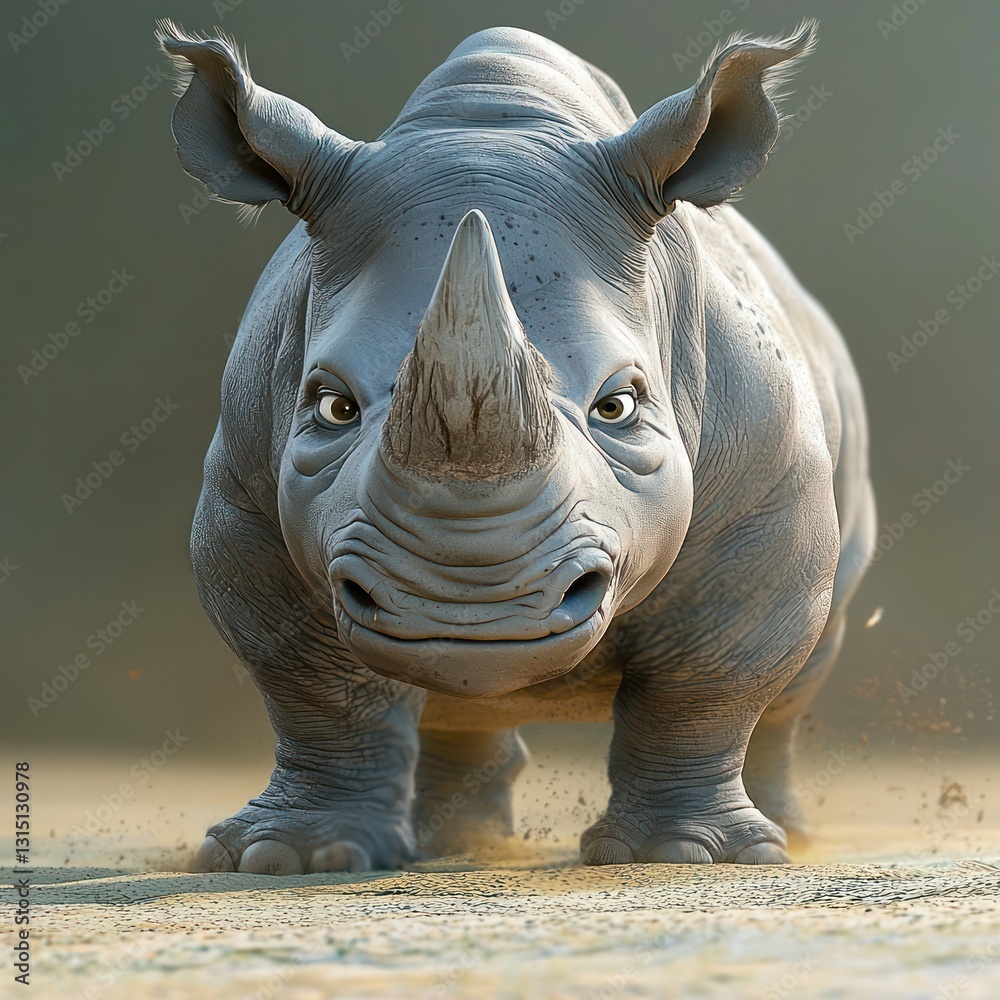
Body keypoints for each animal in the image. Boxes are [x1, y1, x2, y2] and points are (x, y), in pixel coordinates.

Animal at [158, 18, 875, 873]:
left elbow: (707, 677)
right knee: (457, 700)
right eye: (332, 406)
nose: (472, 617)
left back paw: (788, 834)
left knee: (793, 676)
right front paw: (291, 858)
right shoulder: (248, 506)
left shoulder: (762, 504)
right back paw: (455, 845)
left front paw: (684, 856)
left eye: (619, 406)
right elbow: (315, 686)